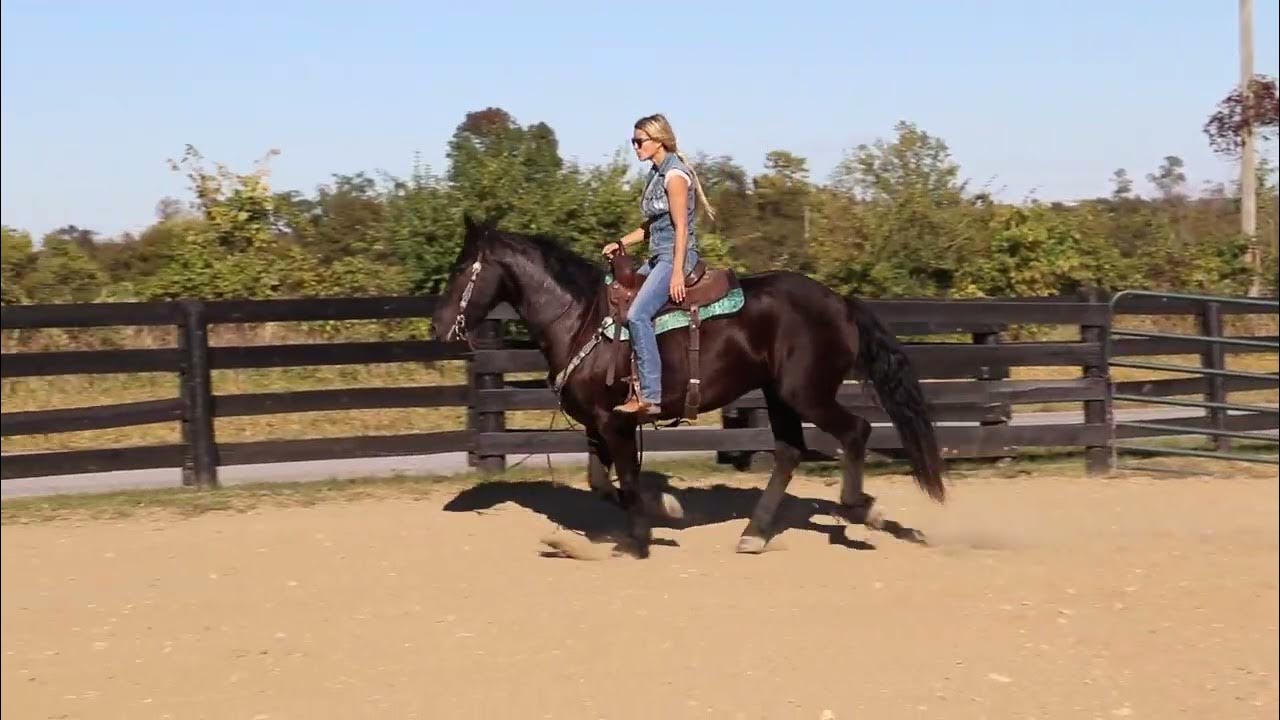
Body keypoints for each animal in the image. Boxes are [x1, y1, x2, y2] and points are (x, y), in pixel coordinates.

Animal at [430, 216, 946, 558]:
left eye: (460, 270)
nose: (437, 327)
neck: (582, 322)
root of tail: (840, 302)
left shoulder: (615, 423)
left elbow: (626, 480)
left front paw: (642, 535)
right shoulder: (597, 425)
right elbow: (601, 482)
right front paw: (666, 509)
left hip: (807, 394)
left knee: (855, 431)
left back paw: (861, 510)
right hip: (778, 396)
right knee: (788, 452)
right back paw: (754, 533)